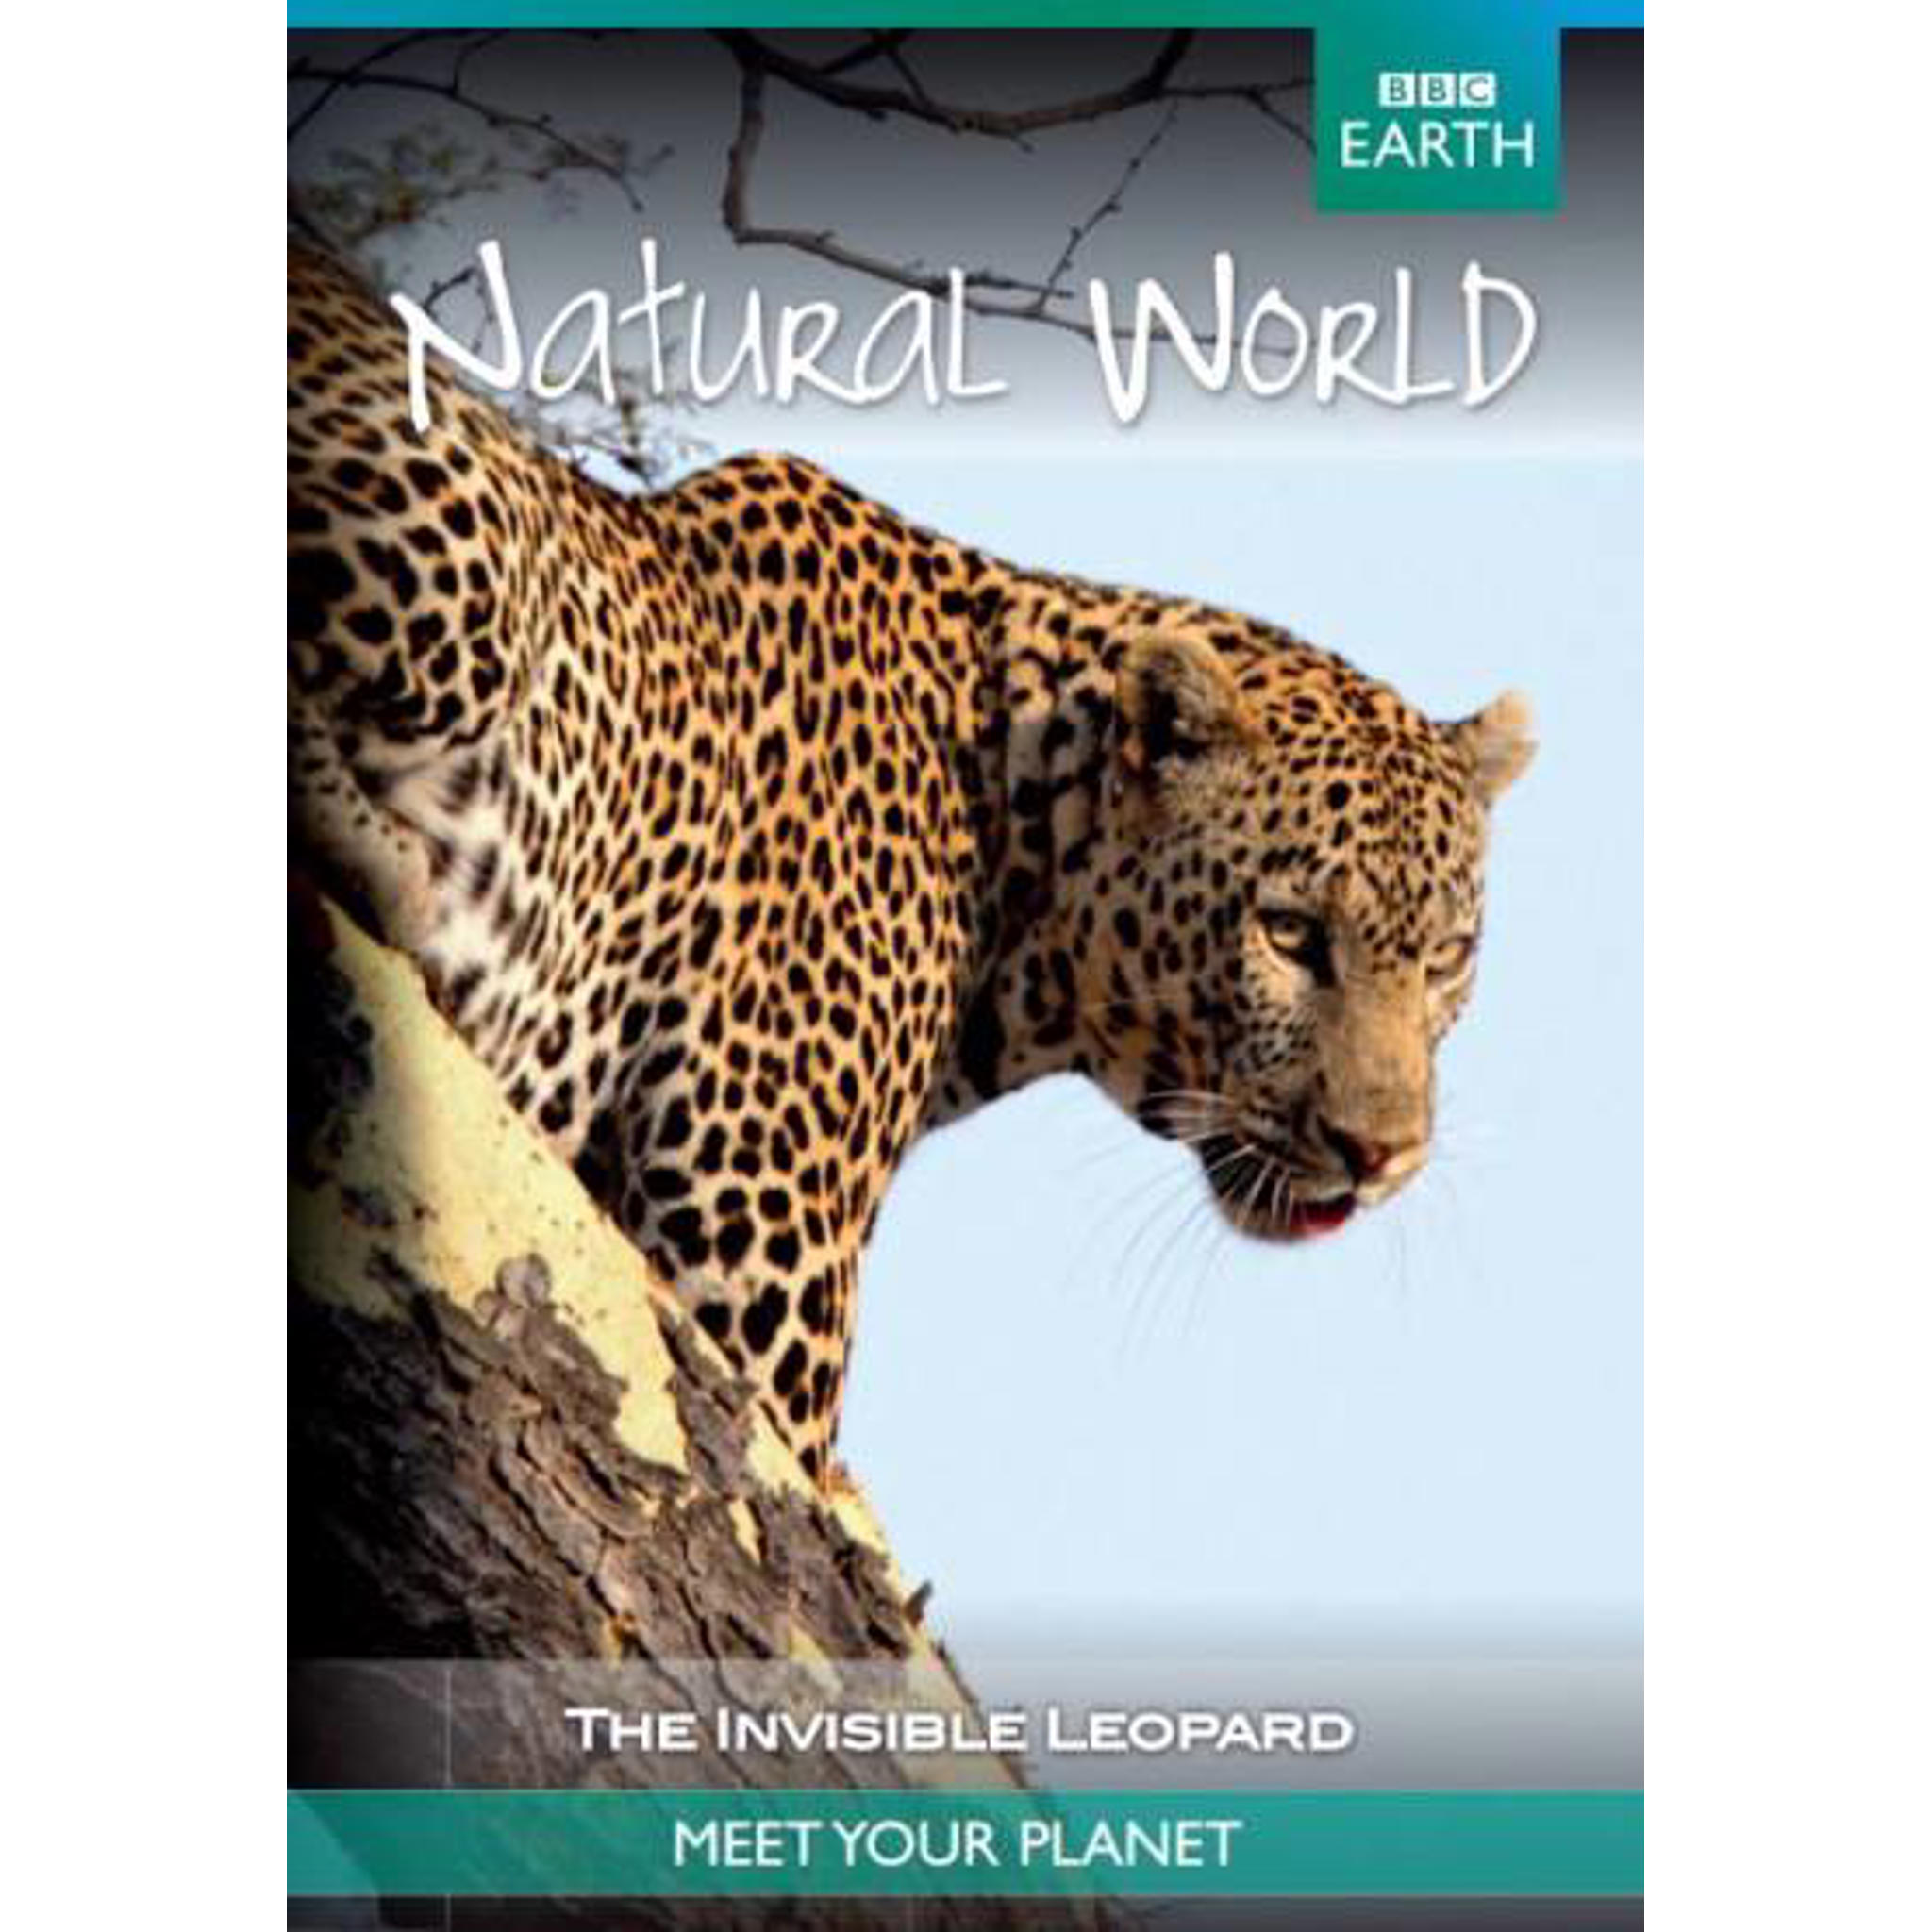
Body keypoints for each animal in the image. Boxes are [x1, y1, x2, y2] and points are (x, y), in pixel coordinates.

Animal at [288, 243, 1535, 1486]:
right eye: (1287, 934)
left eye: (1444, 960)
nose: (1377, 1152)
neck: (1018, 829)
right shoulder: (753, 1254)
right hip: (470, 541)